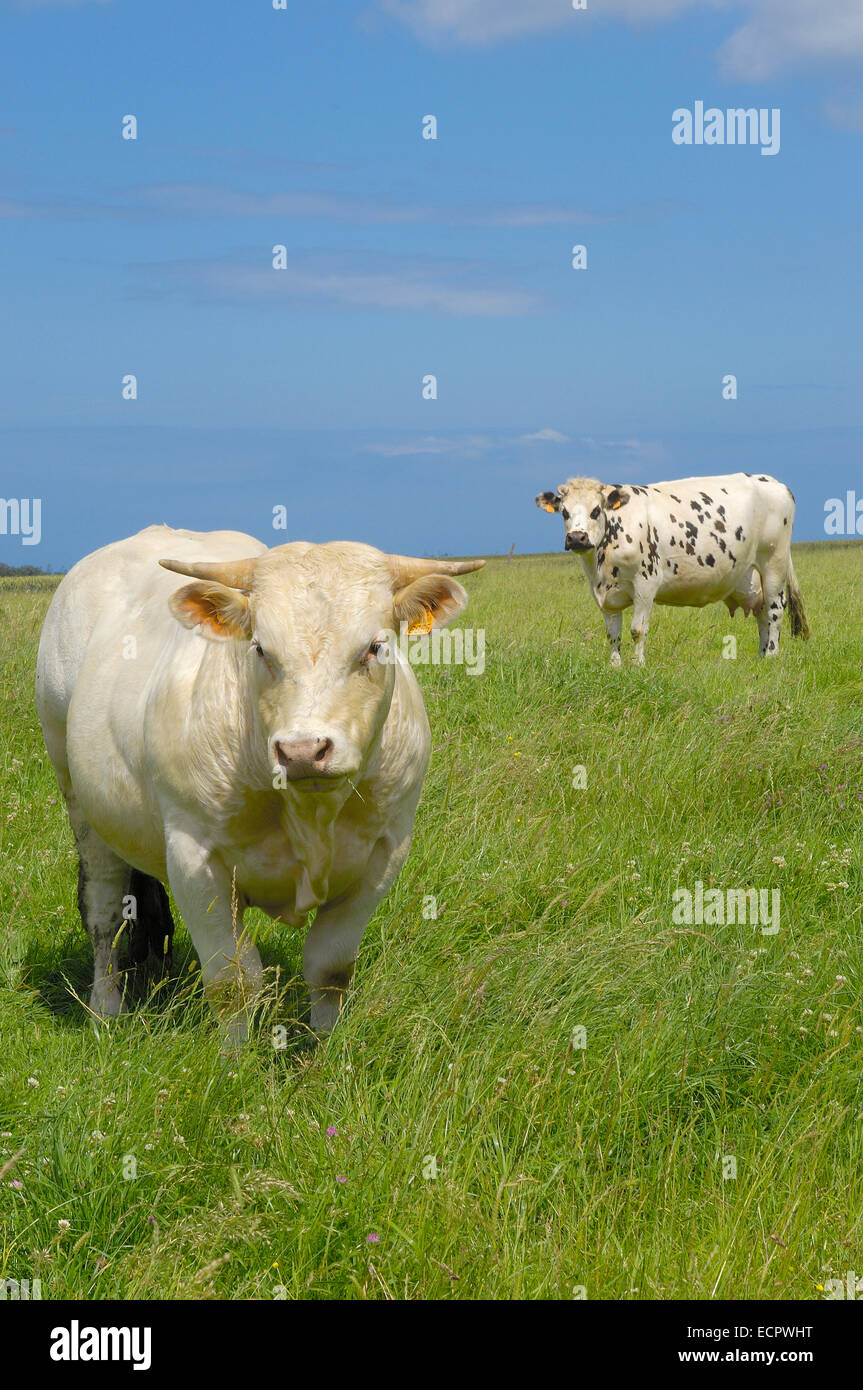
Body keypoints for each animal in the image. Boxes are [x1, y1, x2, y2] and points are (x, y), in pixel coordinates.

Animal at [35, 526, 484, 1039]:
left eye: (375, 647)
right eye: (260, 648)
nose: (303, 750)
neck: (310, 813)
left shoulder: (385, 852)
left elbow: (330, 969)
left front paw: (325, 1048)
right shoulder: (194, 859)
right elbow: (233, 982)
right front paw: (236, 1055)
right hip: (77, 796)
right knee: (104, 911)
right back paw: (106, 1005)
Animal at [535, 473, 808, 666]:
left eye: (595, 510)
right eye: (564, 512)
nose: (577, 538)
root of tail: (773, 482)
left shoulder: (646, 583)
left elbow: (637, 630)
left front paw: (638, 665)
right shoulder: (605, 595)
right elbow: (613, 634)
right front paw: (615, 666)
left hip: (773, 565)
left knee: (774, 611)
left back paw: (771, 657)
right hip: (751, 575)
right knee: (762, 615)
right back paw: (761, 657)